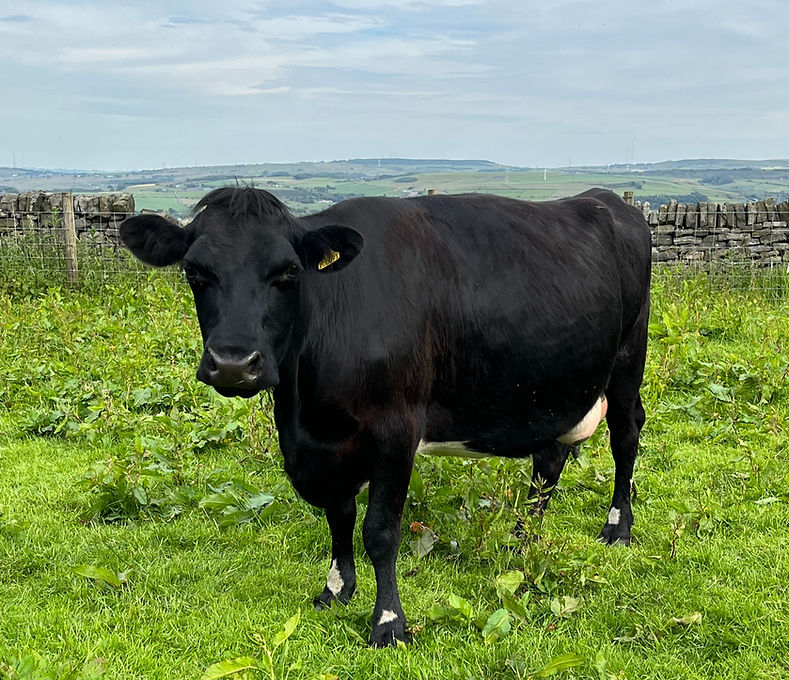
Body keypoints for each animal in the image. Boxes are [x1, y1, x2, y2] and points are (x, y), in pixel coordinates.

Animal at [120, 186, 650, 647]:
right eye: (194, 272)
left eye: (289, 272)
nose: (232, 363)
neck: (308, 414)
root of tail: (603, 199)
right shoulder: (323, 446)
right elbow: (338, 516)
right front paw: (336, 590)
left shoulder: (396, 429)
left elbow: (379, 530)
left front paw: (389, 622)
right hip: (550, 386)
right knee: (549, 460)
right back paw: (521, 536)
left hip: (628, 360)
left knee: (625, 438)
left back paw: (617, 528)